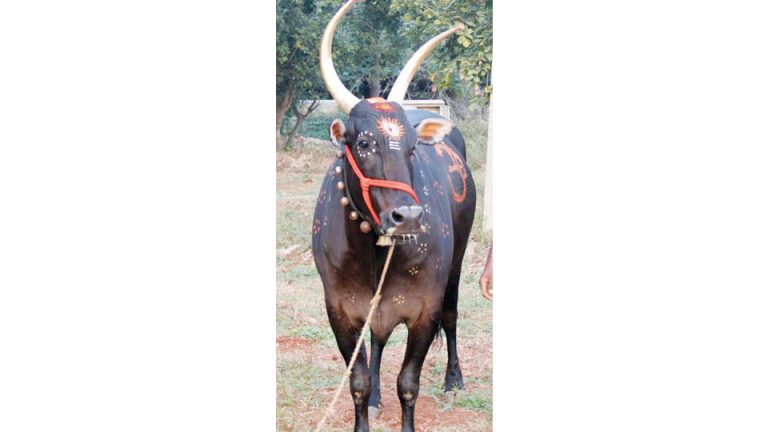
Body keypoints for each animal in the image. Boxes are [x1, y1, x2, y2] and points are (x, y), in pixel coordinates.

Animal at [311, 1, 476, 431]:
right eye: (364, 143)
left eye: (414, 147)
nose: (410, 216)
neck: (376, 251)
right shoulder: (339, 309)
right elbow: (358, 381)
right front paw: (367, 405)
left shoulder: (424, 312)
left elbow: (409, 384)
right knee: (378, 341)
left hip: (457, 265)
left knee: (452, 317)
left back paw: (454, 378)